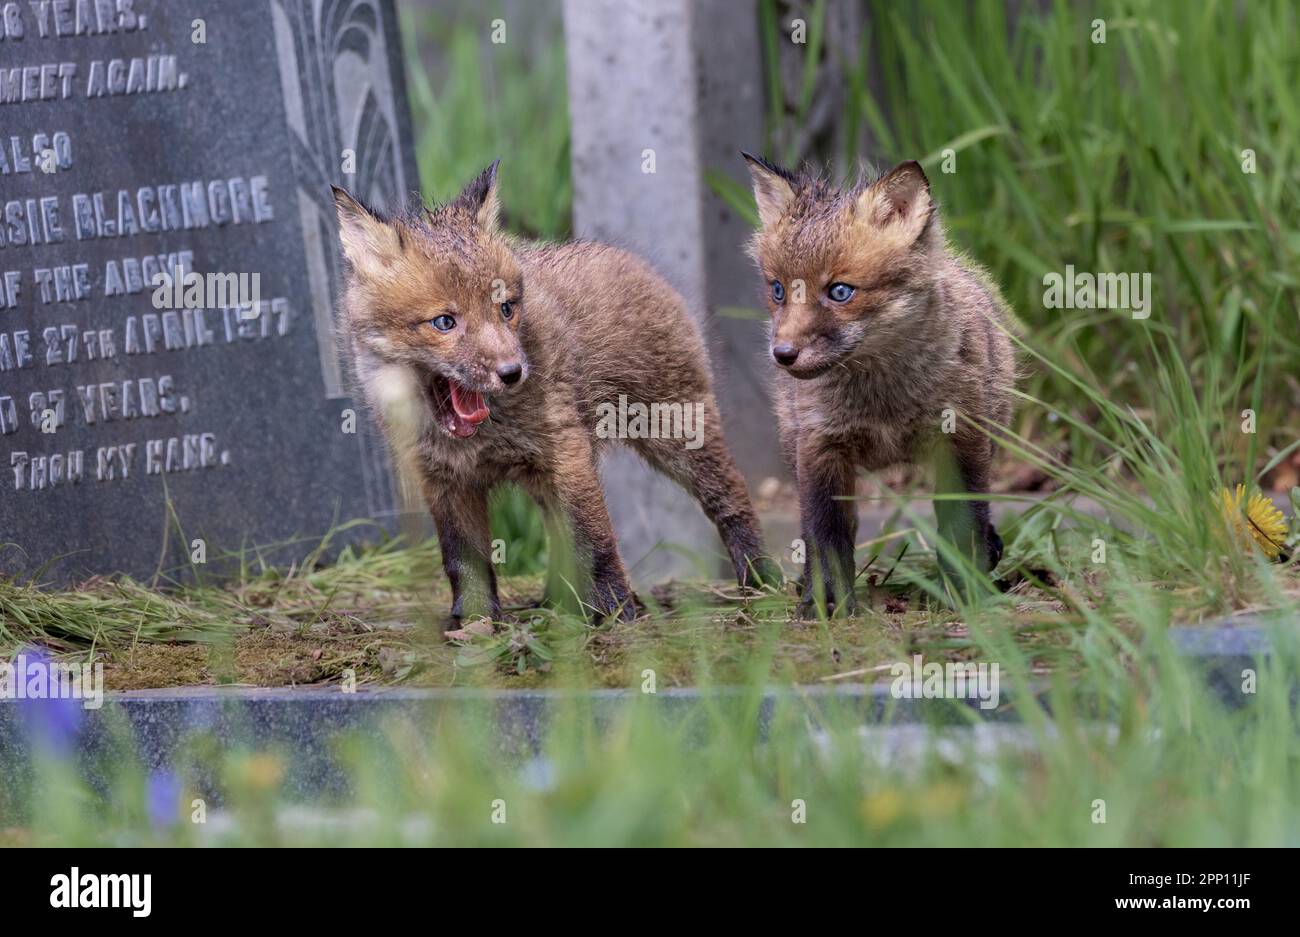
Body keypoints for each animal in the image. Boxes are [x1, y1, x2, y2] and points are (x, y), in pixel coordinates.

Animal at [332, 161, 780, 625]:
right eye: (444, 322)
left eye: (506, 308)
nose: (512, 372)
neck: (480, 439)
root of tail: (631, 260)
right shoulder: (444, 480)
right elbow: (463, 559)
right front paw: (475, 621)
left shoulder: (568, 454)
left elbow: (597, 543)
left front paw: (620, 613)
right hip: (548, 481)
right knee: (557, 537)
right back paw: (558, 602)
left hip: (676, 435)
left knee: (733, 497)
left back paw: (761, 580)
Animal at [741, 154, 1015, 617]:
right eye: (778, 290)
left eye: (839, 291)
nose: (783, 354)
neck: (881, 398)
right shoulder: (820, 447)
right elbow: (826, 536)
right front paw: (826, 603)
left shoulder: (959, 438)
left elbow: (963, 525)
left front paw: (965, 592)